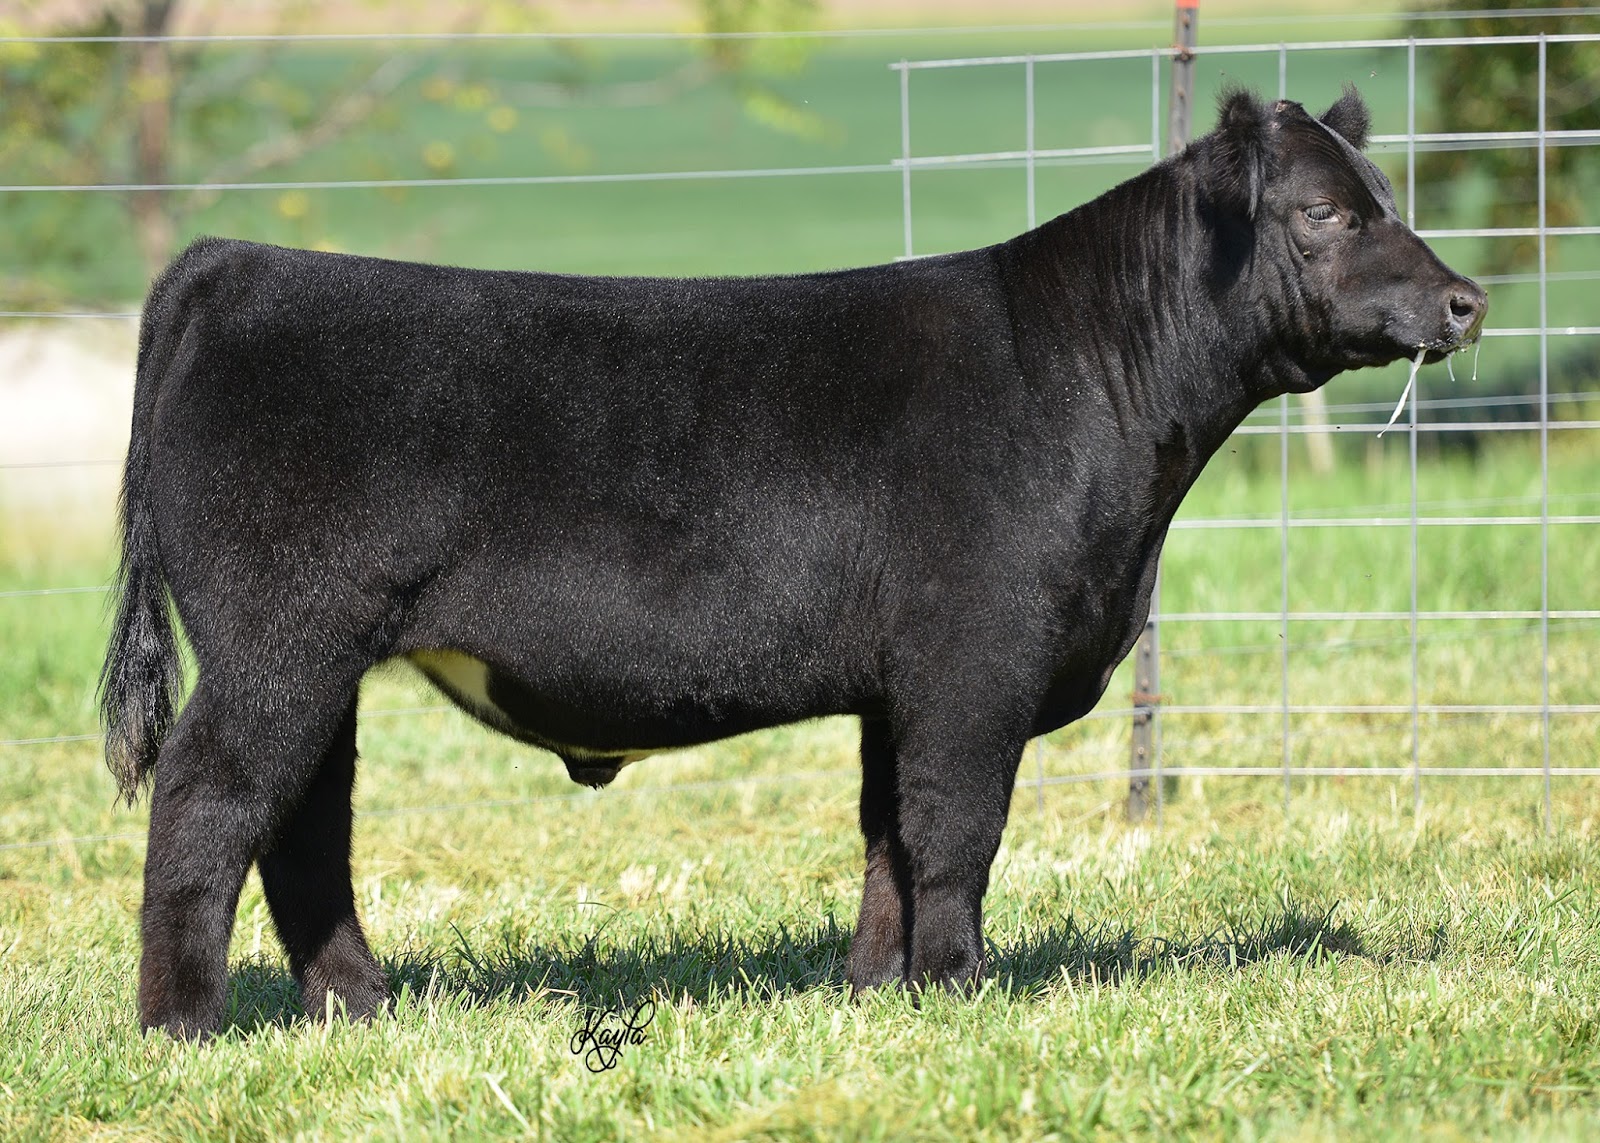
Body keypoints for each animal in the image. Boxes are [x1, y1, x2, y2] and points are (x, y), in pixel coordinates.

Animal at [101, 86, 1485, 1038]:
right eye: (1323, 212)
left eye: (1391, 198)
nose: (1464, 300)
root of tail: (231, 264)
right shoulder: (975, 658)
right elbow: (954, 830)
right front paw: (962, 987)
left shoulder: (898, 680)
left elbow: (885, 842)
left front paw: (878, 992)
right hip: (282, 639)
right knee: (210, 799)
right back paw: (184, 1025)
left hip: (320, 660)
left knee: (303, 823)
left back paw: (363, 1008)